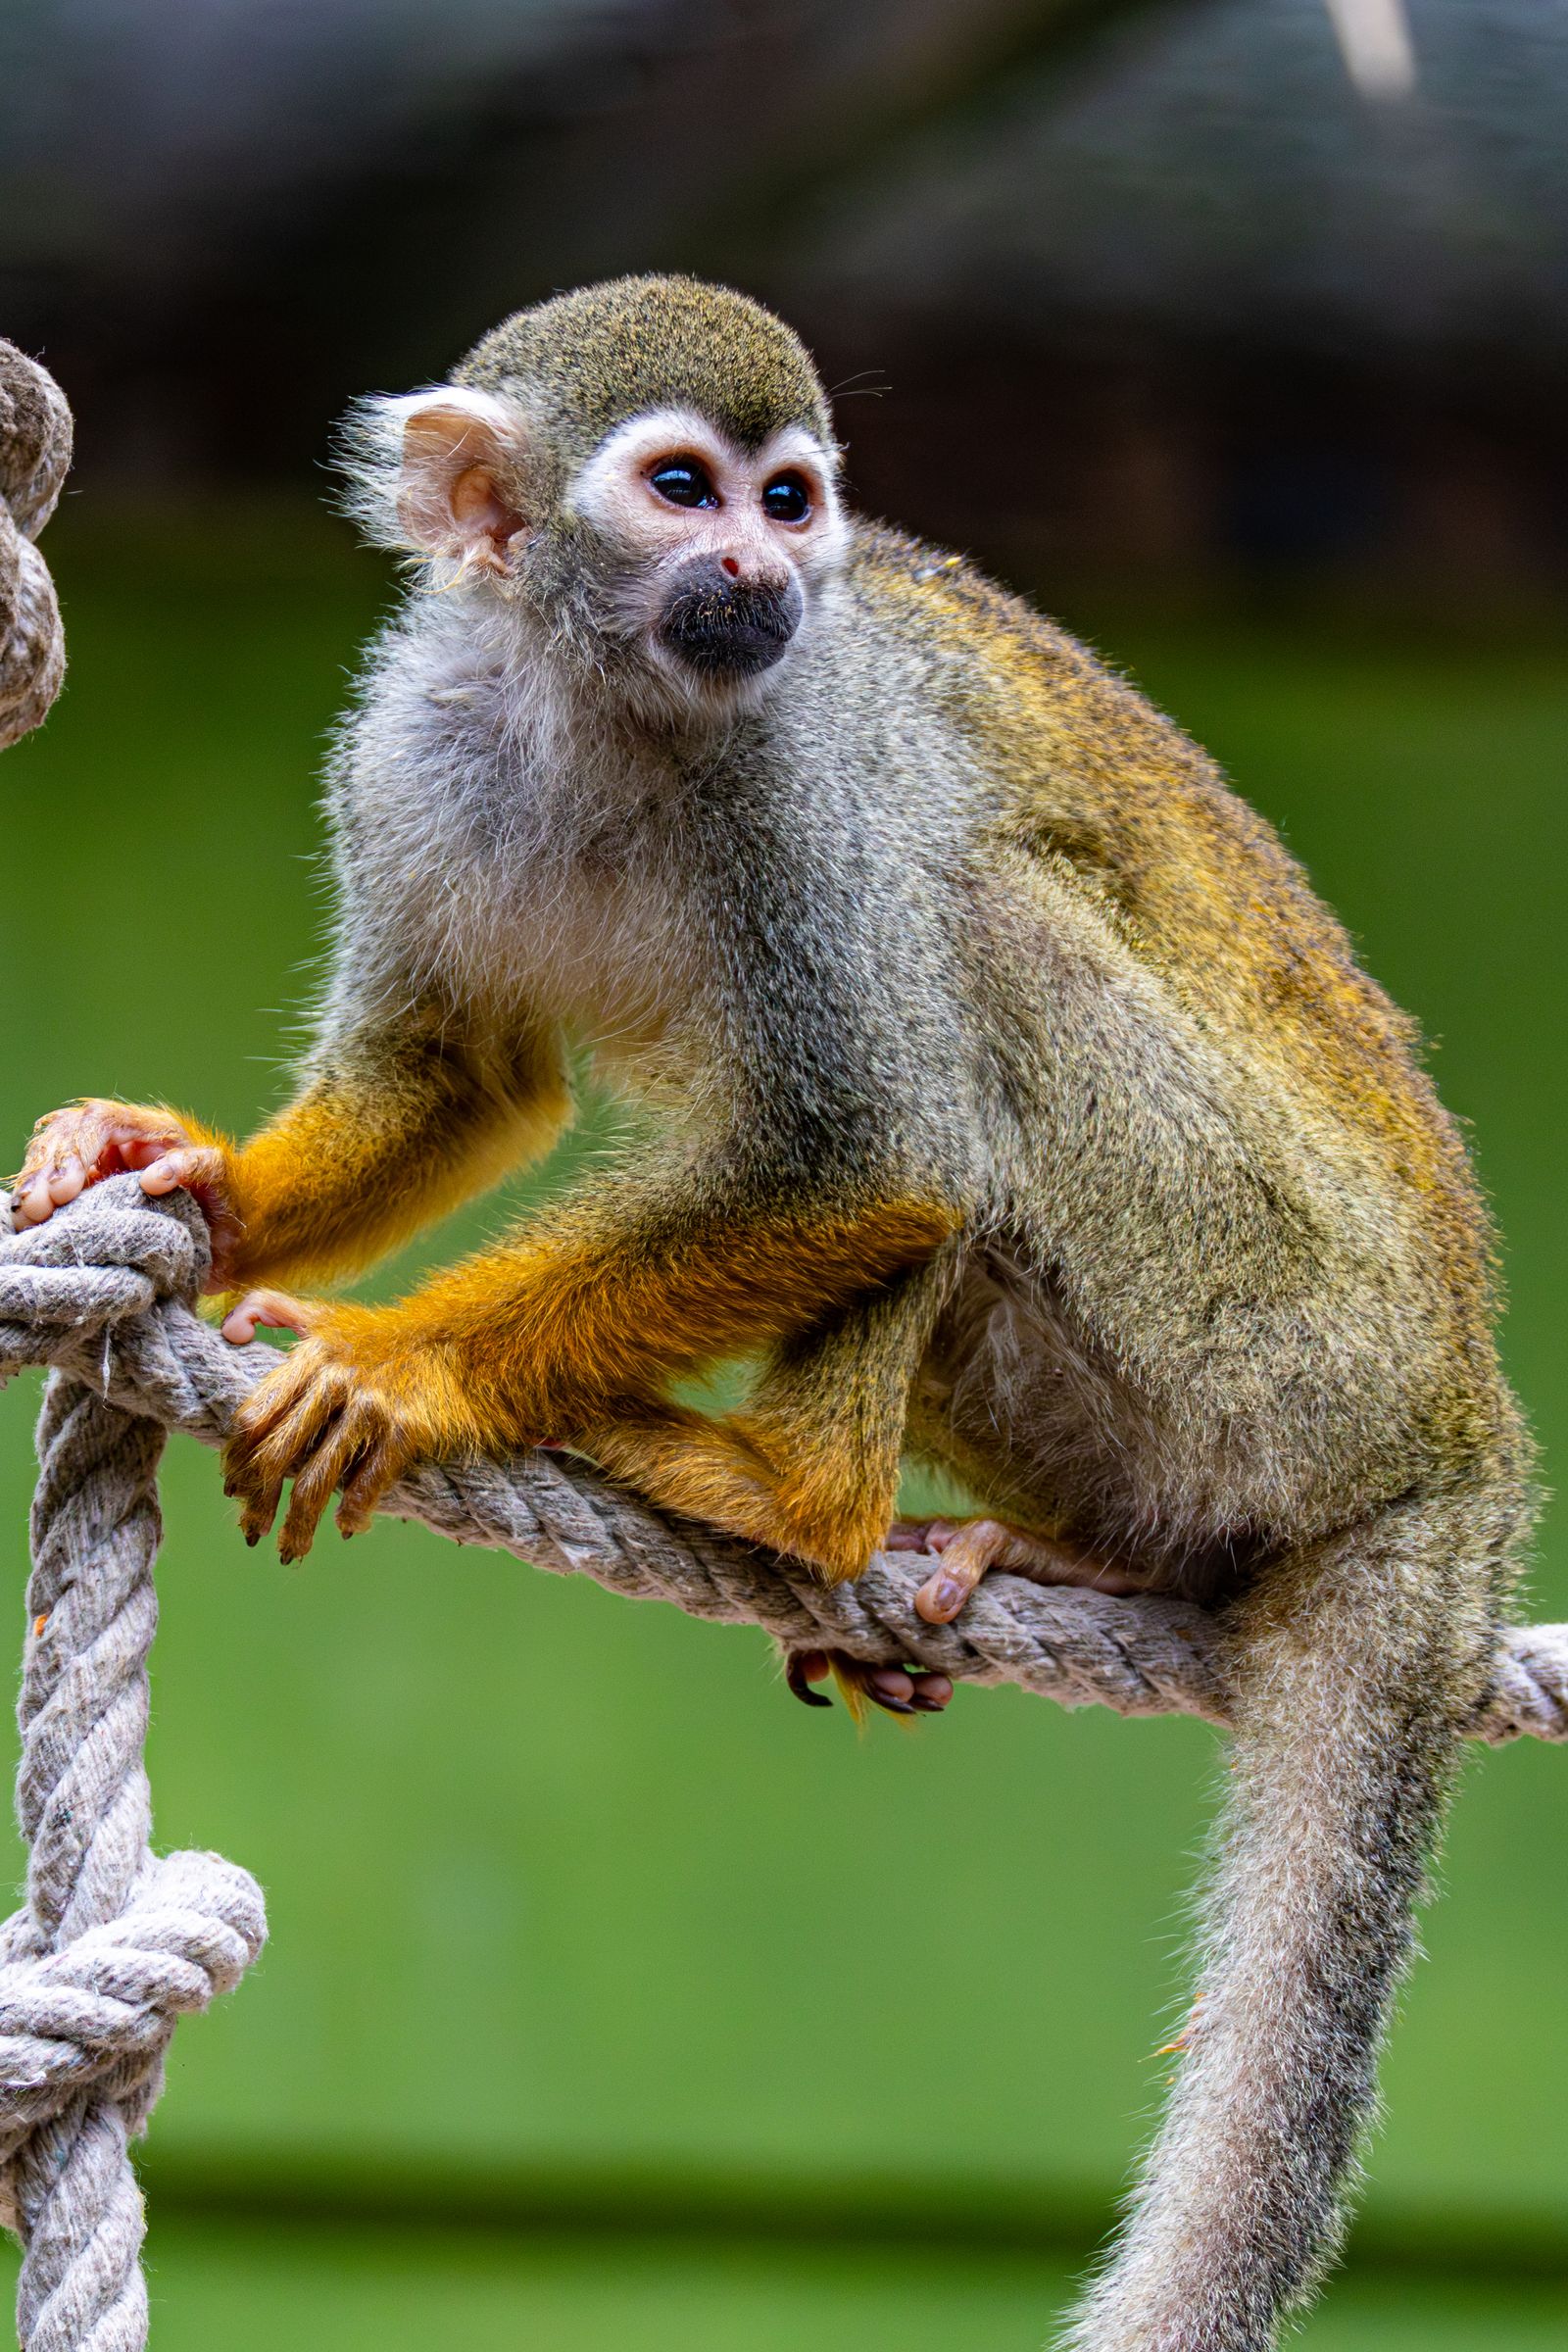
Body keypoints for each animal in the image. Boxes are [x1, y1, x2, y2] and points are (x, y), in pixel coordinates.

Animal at [11, 275, 1534, 2349]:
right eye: (682, 490)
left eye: (792, 496)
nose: (762, 569)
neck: (604, 709)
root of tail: (1466, 1435)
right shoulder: (415, 738)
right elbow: (460, 1080)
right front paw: (195, 1184)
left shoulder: (806, 794)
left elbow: (876, 1152)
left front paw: (407, 1371)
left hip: (1284, 1319)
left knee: (965, 941)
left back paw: (794, 1496)